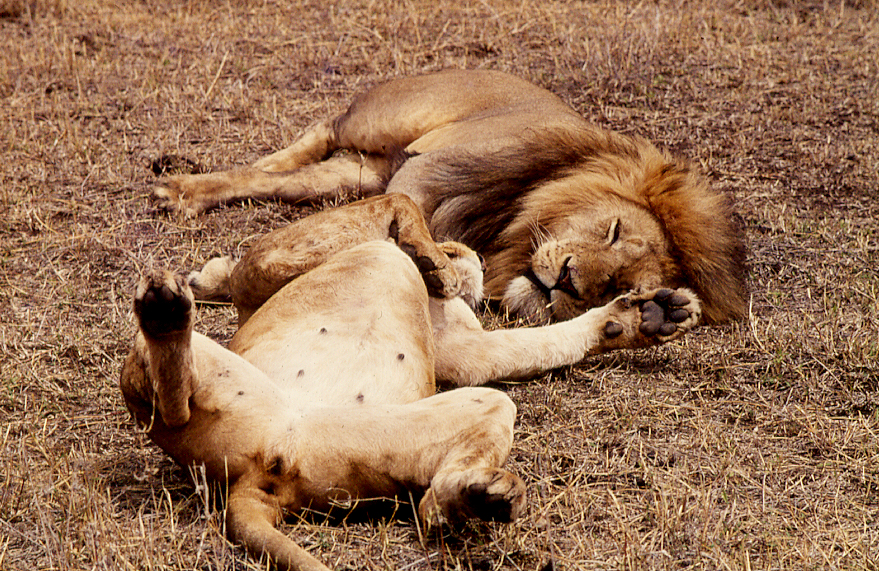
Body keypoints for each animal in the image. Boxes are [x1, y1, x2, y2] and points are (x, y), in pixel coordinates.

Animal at [121, 194, 701, 569]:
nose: (467, 253)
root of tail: (257, 481)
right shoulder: (262, 271)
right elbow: (396, 200)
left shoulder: (464, 353)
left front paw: (645, 317)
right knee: (159, 397)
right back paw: (166, 311)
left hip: (453, 415)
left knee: (431, 502)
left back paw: (482, 500)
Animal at [154, 69, 747, 326]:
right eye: (612, 230)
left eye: (621, 288)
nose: (569, 280)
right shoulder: (432, 169)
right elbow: (409, 218)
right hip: (387, 119)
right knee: (320, 131)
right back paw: (179, 186)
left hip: (361, 172)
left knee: (299, 177)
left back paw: (190, 204)